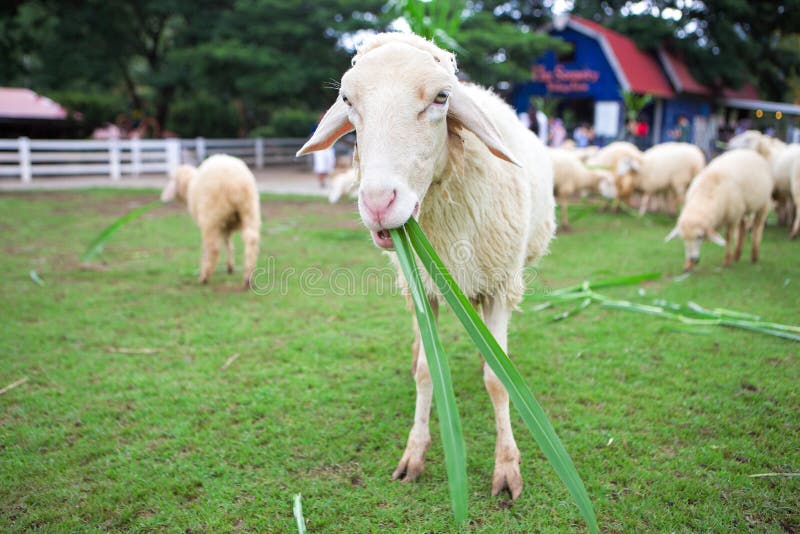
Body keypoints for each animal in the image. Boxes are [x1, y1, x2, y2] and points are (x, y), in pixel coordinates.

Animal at [161, 154, 261, 287]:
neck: (189, 186)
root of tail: (236, 184)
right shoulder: (226, 226)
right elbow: (228, 243)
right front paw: (230, 267)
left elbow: (209, 247)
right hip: (250, 211)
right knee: (251, 240)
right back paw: (247, 278)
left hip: (212, 216)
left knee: (213, 247)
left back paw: (204, 276)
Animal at [297, 32, 555, 500]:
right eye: (348, 100)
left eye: (441, 97)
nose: (378, 204)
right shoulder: (424, 289)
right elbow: (425, 372)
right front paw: (414, 453)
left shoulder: (499, 286)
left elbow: (497, 380)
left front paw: (507, 466)